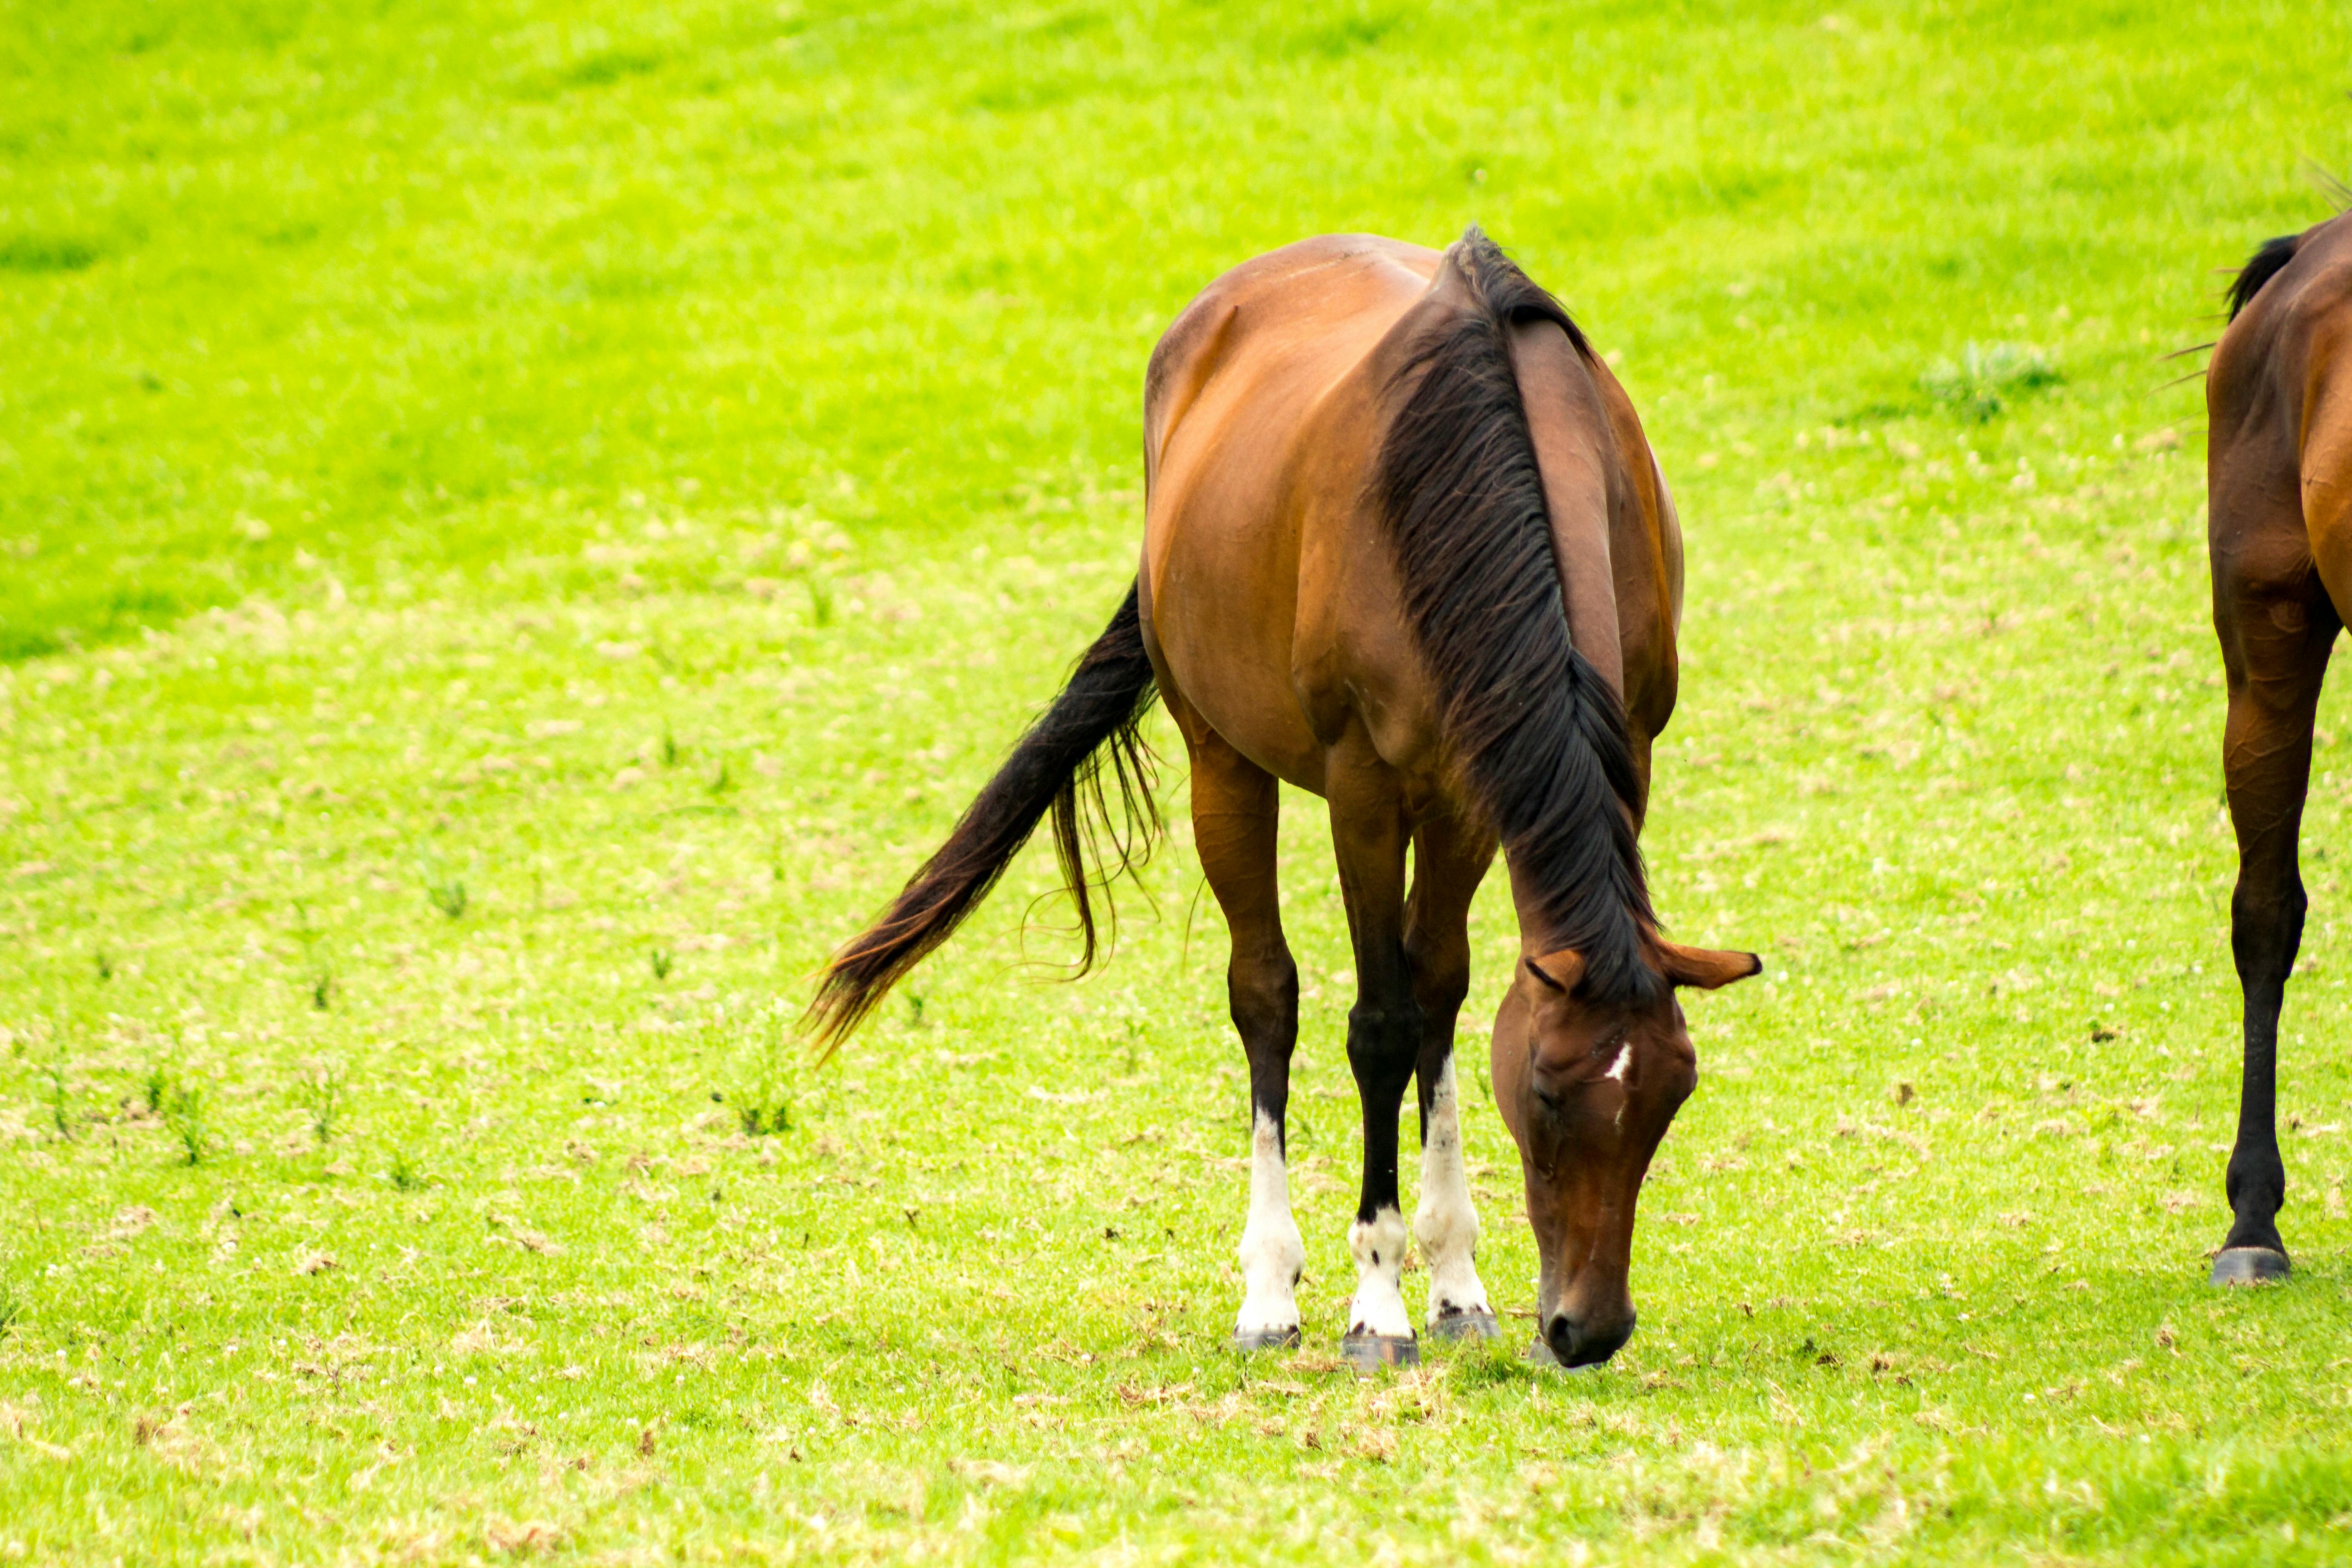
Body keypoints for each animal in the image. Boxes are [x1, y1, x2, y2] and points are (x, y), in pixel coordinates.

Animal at [808, 228, 1760, 1368]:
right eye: (1543, 1088)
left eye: (1674, 1093)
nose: (1587, 1327)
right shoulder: (1365, 784)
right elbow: (1381, 1023)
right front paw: (1378, 1301)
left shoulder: (1494, 783)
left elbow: (1440, 993)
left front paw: (1453, 1279)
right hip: (1224, 758)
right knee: (1264, 993)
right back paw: (1268, 1289)